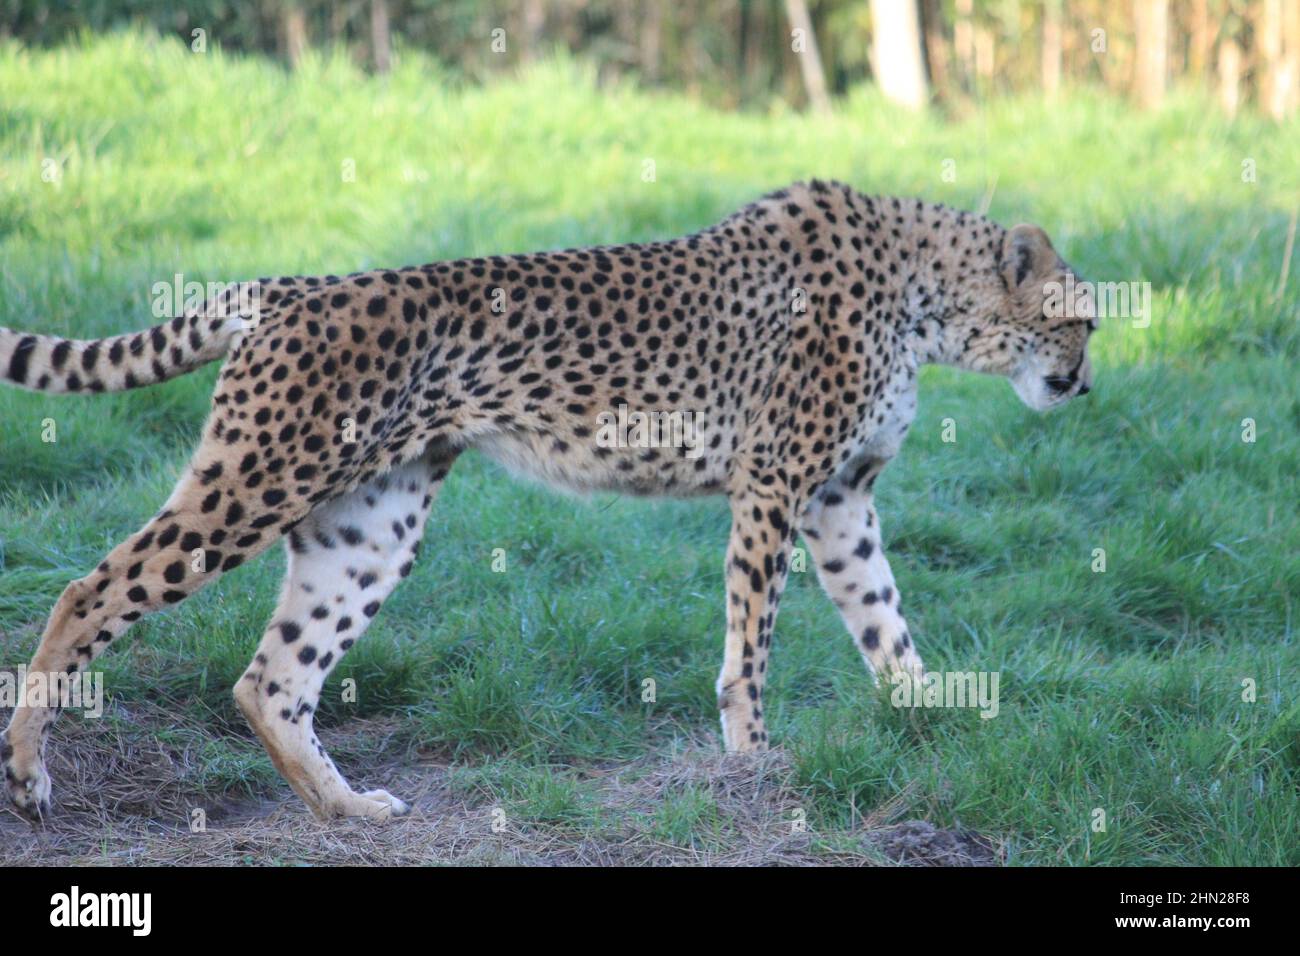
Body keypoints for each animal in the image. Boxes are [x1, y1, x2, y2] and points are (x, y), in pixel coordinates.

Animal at [0, 180, 1095, 823]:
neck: (929, 295)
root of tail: (291, 285)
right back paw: (28, 770)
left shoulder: (840, 498)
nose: (1084, 387)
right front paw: (753, 763)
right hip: (261, 478)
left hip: (368, 526)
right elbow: (753, 640)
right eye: (1082, 320)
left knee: (271, 677)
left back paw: (347, 809)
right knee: (91, 591)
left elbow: (884, 619)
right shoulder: (776, 483)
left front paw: (936, 720)